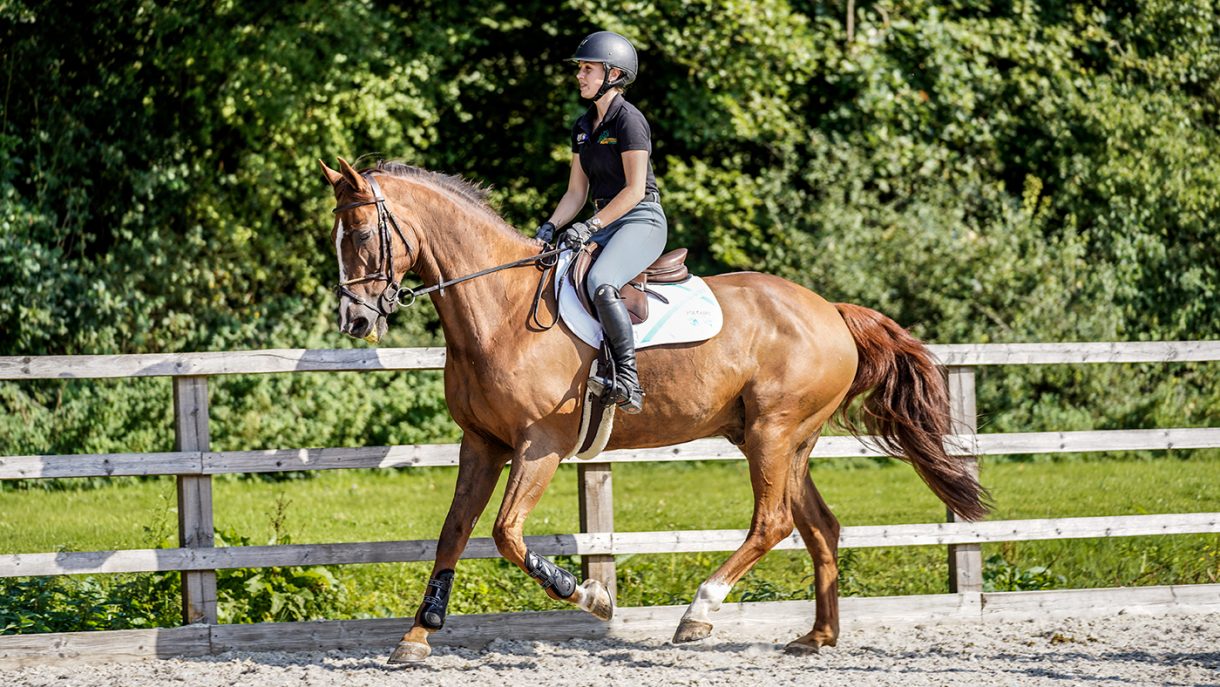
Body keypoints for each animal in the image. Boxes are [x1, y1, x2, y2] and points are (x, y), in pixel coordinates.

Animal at [319, 157, 987, 663]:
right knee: (819, 525)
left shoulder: (541, 446)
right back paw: (818, 637)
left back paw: (698, 613)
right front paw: (417, 636)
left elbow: (506, 533)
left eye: (361, 236)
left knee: (772, 522)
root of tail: (831, 310)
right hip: (782, 440)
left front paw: (591, 596)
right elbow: (453, 532)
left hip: (772, 433)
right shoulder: (481, 443)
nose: (356, 321)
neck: (500, 310)